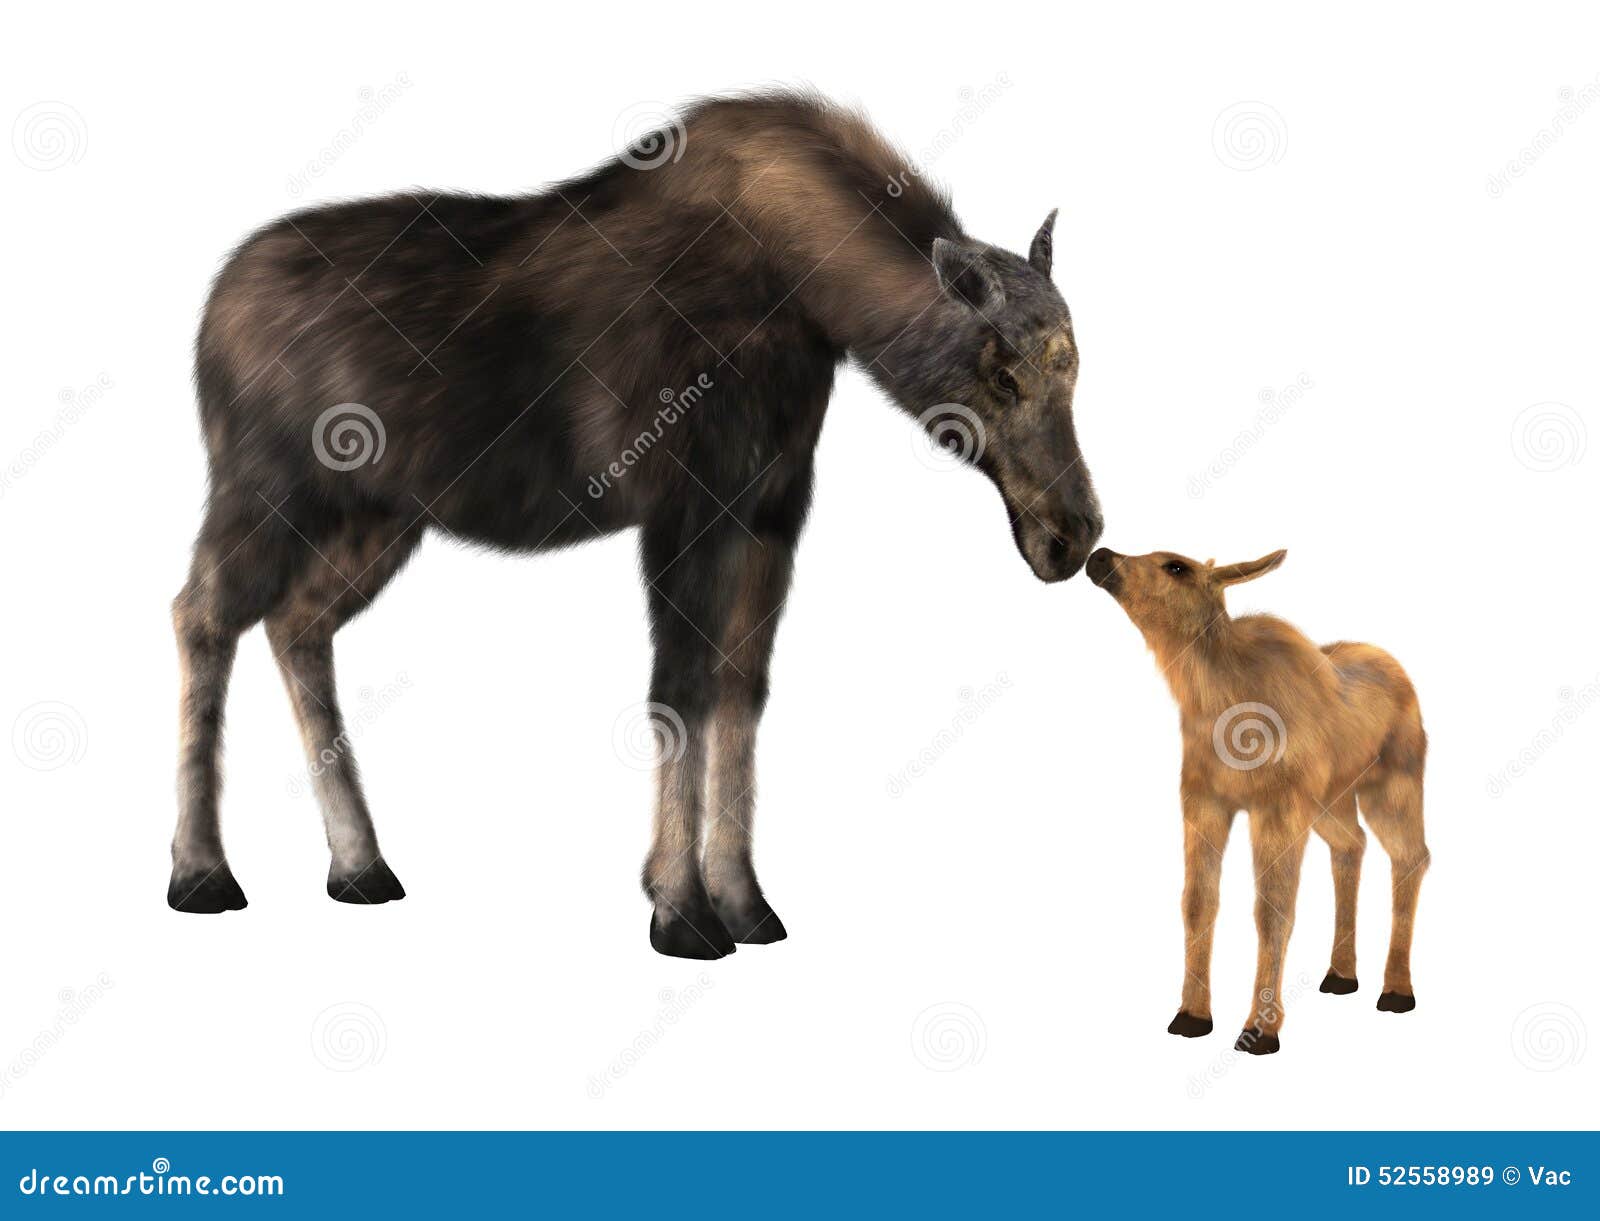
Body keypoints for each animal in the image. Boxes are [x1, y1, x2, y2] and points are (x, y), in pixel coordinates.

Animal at [168, 91, 1104, 959]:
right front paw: (680, 908)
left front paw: (744, 901)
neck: (812, 308)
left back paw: (358, 863)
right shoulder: (685, 505)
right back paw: (201, 871)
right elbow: (680, 691)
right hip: (266, 493)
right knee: (202, 613)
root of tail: (208, 315)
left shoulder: (769, 511)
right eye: (1003, 373)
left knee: (295, 624)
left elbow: (742, 692)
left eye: (1074, 368)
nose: (1073, 535)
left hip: (377, 519)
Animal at [1085, 546, 1428, 1054]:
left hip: (1392, 786)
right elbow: (1198, 903)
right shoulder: (1203, 802)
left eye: (1176, 566)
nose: (1101, 555)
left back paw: (1397, 988)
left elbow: (1272, 911)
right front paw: (1192, 1013)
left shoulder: (1278, 808)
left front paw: (1260, 1027)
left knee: (1411, 857)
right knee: (1352, 846)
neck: (1215, 702)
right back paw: (1342, 973)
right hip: (1330, 802)